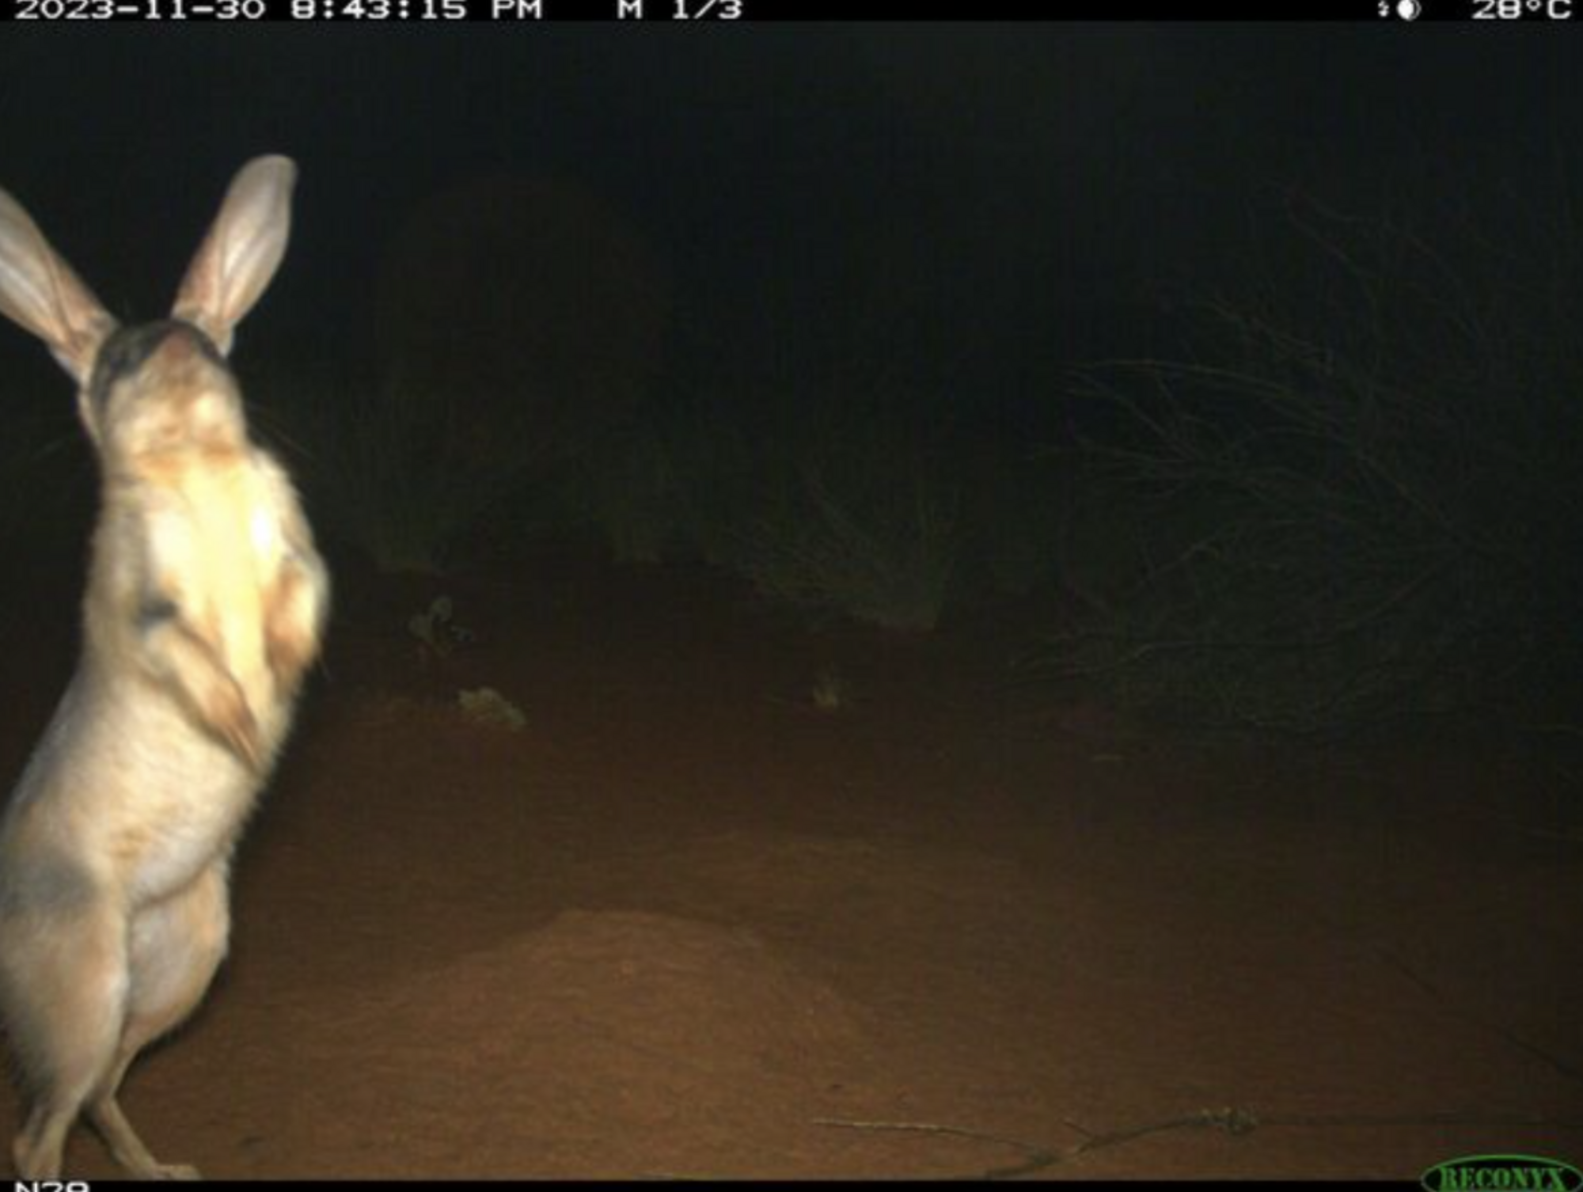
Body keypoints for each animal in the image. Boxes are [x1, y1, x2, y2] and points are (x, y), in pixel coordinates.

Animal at [0, 155, 329, 1180]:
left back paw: (162, 1169)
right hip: (84, 987)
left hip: (188, 962)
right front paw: (238, 721)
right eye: (115, 362)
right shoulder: (142, 602)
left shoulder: (293, 543)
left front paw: (279, 676)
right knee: (36, 1131)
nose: (179, 358)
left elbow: (299, 601)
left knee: (100, 1092)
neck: (195, 470)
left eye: (204, 345)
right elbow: (181, 650)